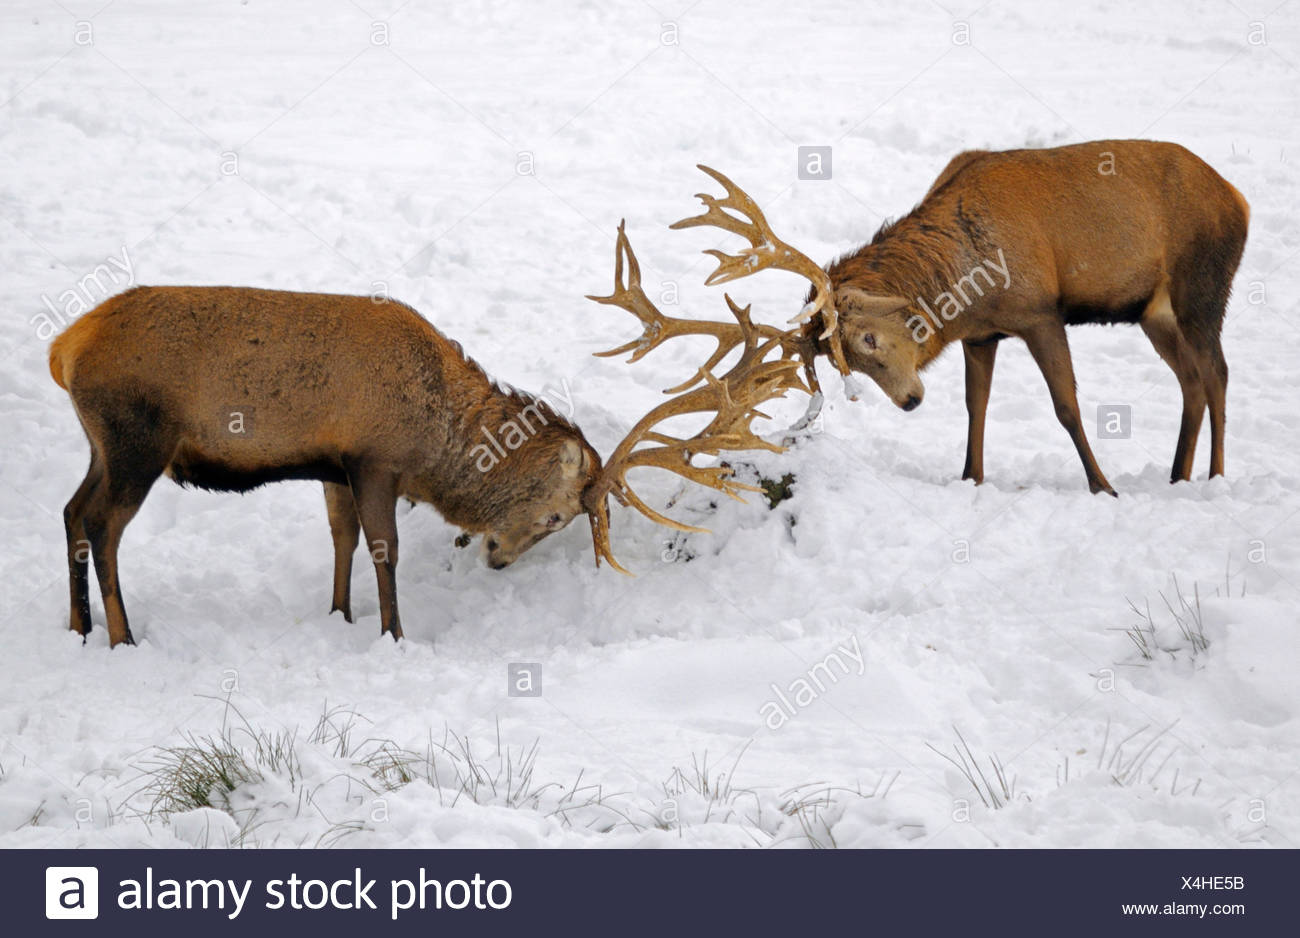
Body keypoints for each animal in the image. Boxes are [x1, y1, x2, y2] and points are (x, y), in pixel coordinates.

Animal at [789, 139, 1250, 495]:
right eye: (846, 364)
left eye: (869, 337)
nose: (909, 401)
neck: (968, 291)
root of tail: (1239, 199)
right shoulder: (980, 336)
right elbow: (976, 405)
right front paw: (971, 477)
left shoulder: (1041, 313)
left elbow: (1066, 407)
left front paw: (1103, 486)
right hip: (1153, 314)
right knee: (1190, 379)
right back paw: (1178, 476)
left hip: (1203, 289)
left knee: (1218, 373)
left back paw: (1216, 477)